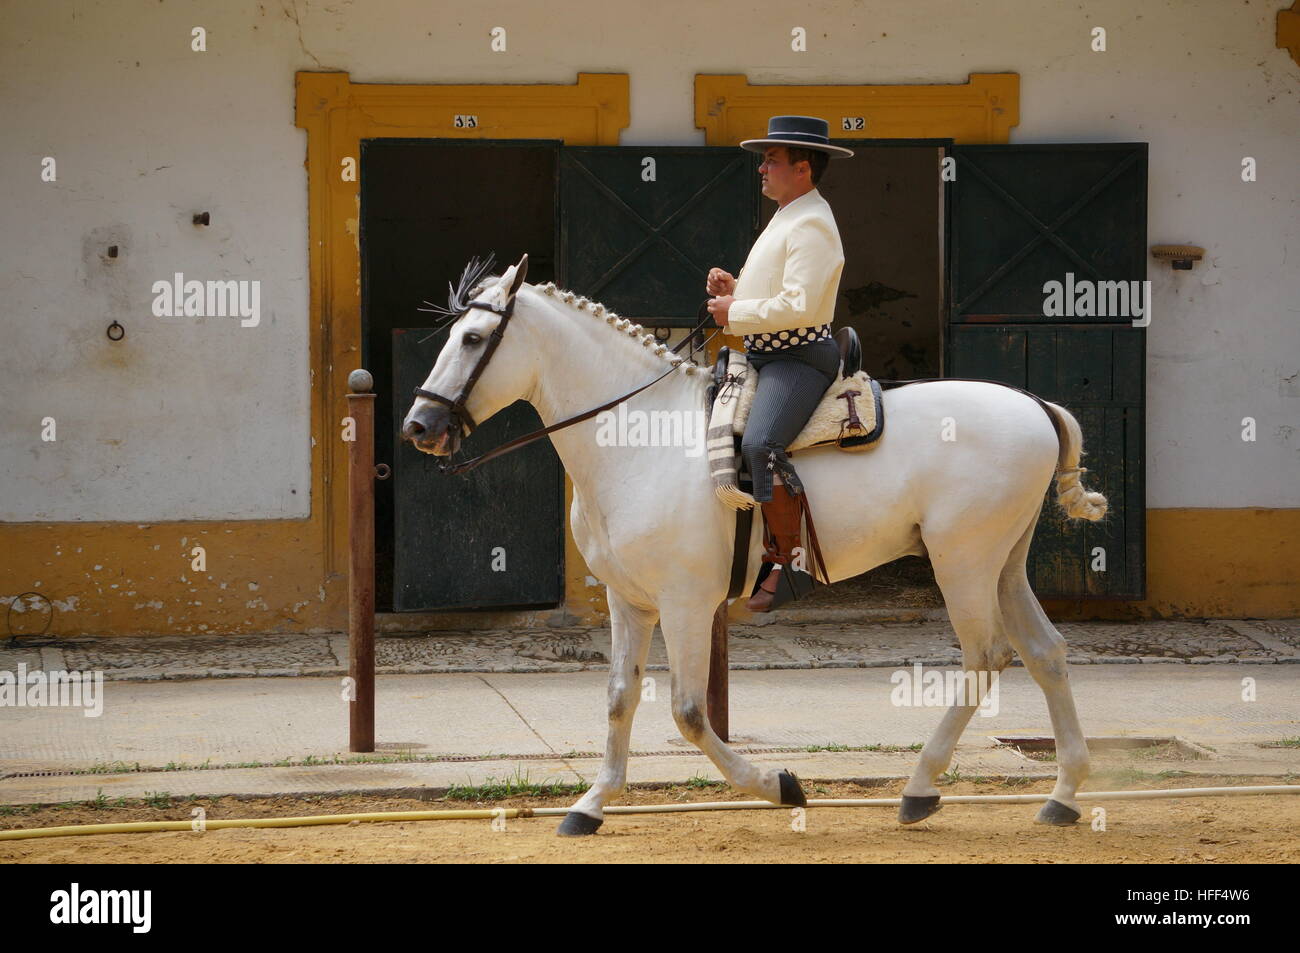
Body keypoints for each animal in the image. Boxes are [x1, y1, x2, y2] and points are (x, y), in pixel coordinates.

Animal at [401, 254, 1109, 836]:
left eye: (472, 338)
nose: (420, 426)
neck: (637, 437)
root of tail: (1035, 405)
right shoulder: (629, 602)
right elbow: (620, 698)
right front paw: (591, 805)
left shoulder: (686, 603)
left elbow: (689, 712)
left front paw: (779, 785)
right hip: (1003, 562)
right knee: (1045, 651)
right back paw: (1063, 795)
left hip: (961, 560)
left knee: (986, 656)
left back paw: (919, 788)